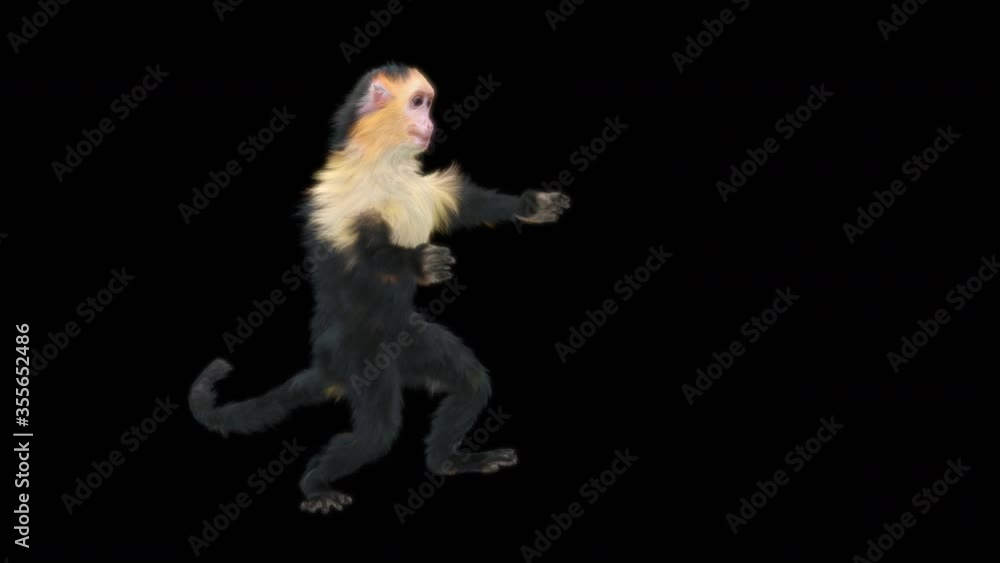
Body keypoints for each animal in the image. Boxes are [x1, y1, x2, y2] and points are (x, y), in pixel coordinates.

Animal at [189, 63, 570, 514]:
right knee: (376, 433)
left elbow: (466, 206)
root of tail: (328, 363)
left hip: (408, 341)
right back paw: (316, 485)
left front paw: (531, 206)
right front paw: (416, 264)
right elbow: (367, 259)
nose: (431, 123)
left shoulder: (422, 190)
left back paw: (448, 463)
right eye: (419, 103)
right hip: (360, 357)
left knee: (469, 382)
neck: (382, 162)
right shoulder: (344, 203)